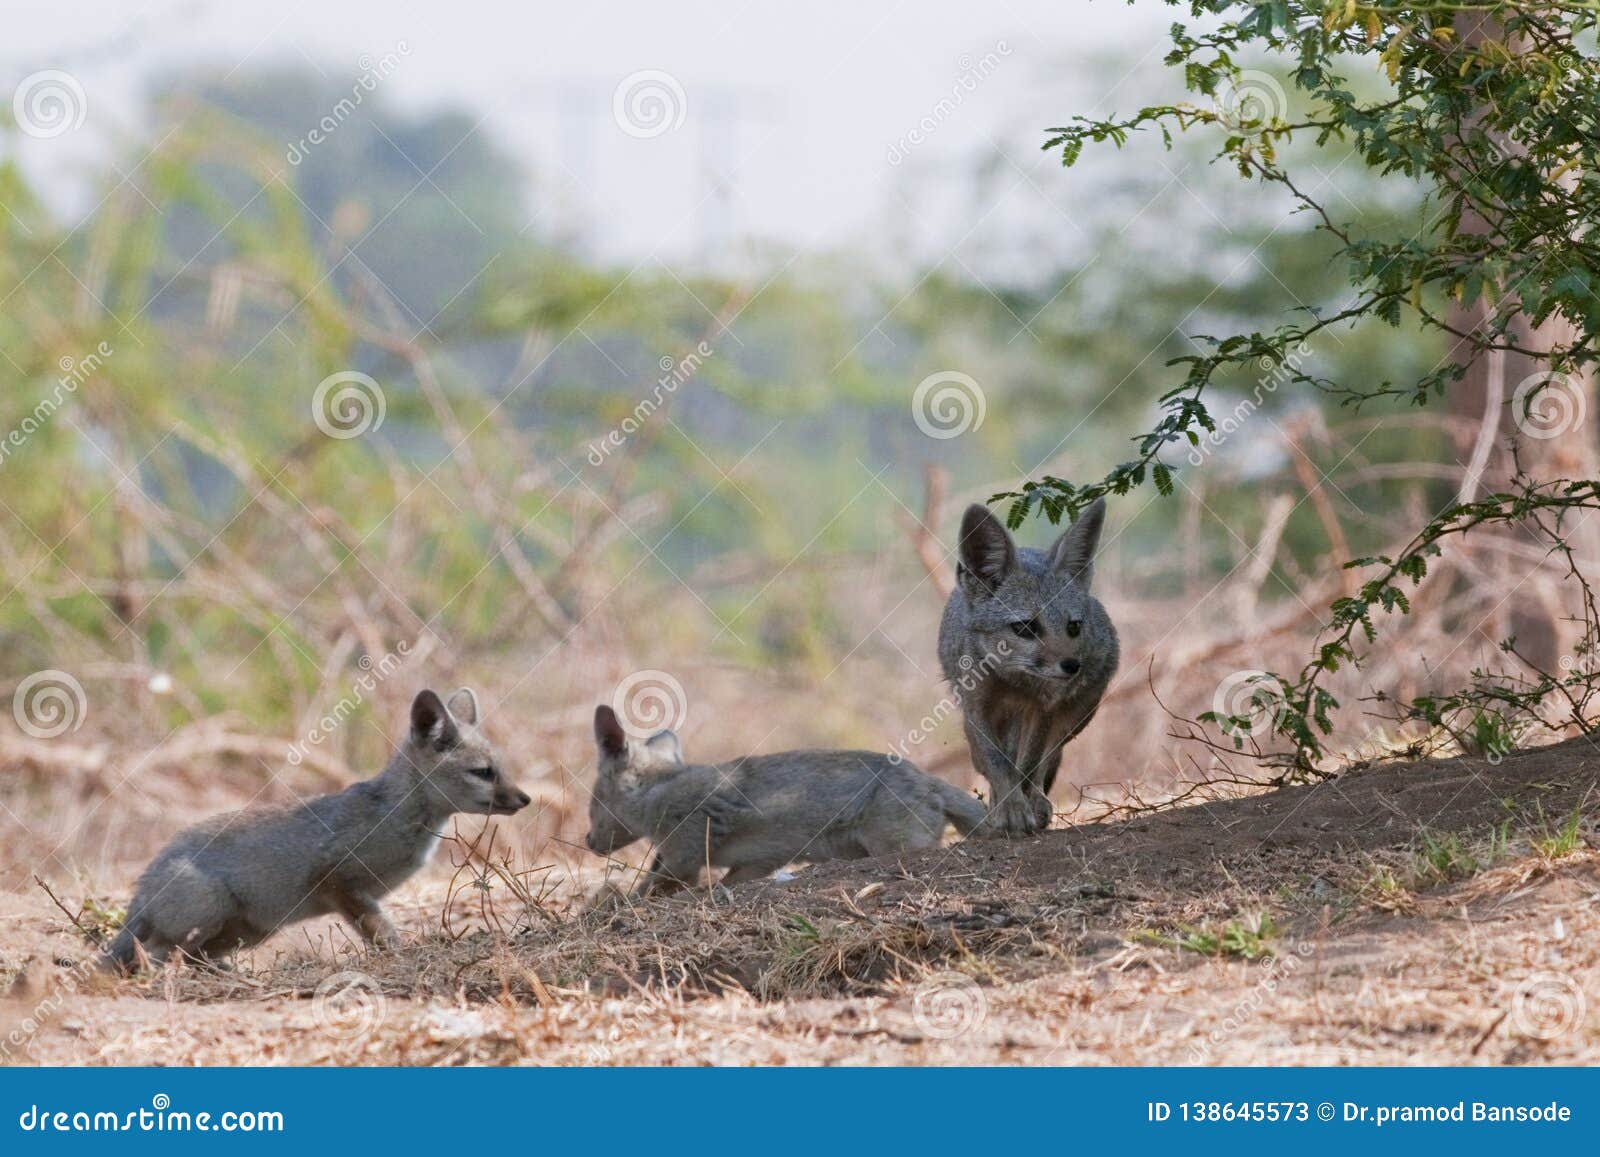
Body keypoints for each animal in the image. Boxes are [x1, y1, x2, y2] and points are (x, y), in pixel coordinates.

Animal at [104, 688, 530, 971]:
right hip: (210, 916)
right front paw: (402, 958)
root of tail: (146, 879)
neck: (395, 815)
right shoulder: (338, 881)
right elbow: (383, 933)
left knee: (187, 957)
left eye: (501, 769)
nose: (525, 799)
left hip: (250, 931)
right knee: (153, 955)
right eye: (483, 773)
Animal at [584, 705, 986, 895]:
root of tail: (930, 780)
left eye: (593, 802)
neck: (658, 789)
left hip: (895, 844)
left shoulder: (684, 856)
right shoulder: (757, 861)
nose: (587, 842)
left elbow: (649, 889)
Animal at [938, 498, 1118, 837]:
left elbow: (1029, 763)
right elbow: (996, 763)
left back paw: (1035, 802)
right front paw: (1008, 810)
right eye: (1025, 628)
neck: (1013, 682)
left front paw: (1022, 808)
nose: (1072, 666)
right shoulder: (976, 708)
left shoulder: (1044, 707)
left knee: (1043, 760)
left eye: (1073, 626)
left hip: (1076, 718)